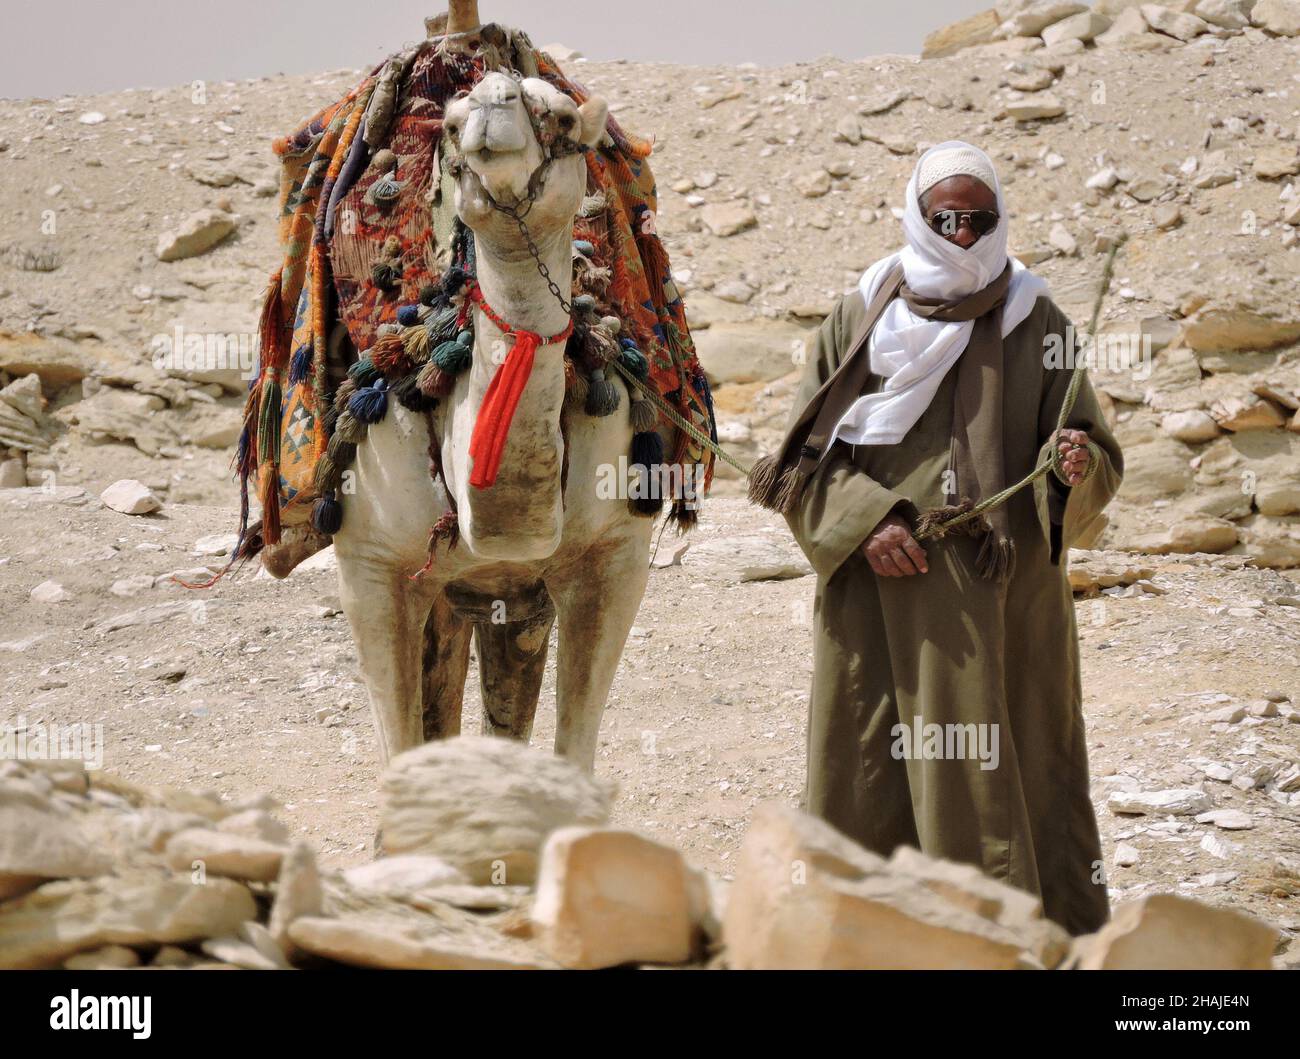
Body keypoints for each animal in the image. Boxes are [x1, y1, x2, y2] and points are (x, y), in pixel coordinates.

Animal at [332, 47, 658, 772]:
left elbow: (574, 749)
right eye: (452, 126)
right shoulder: (372, 563)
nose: (490, 108)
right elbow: (399, 747)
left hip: (512, 595)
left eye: (560, 116)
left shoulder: (616, 555)